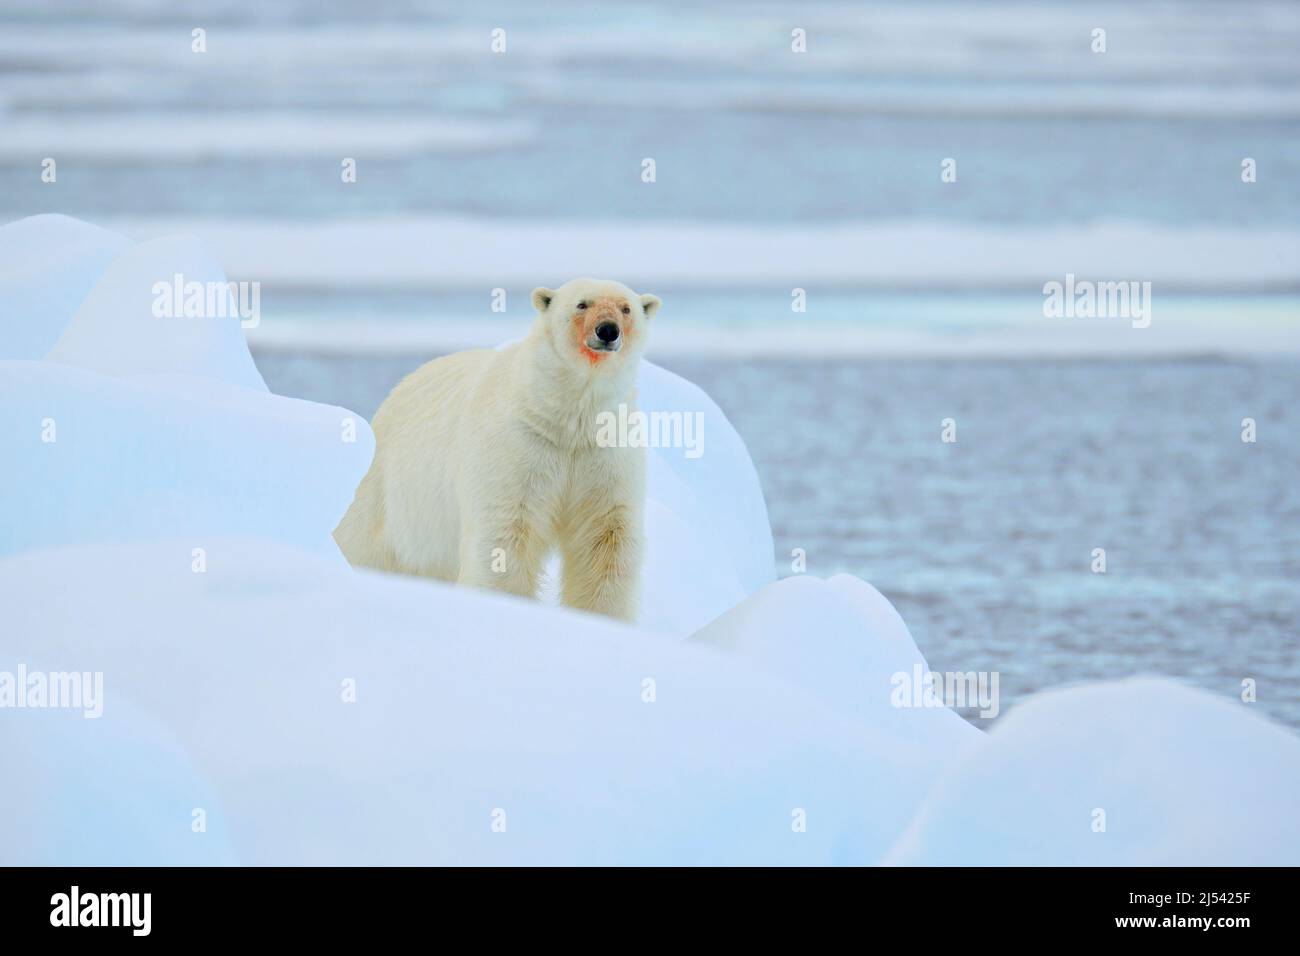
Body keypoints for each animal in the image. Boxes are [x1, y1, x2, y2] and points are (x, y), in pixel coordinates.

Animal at [333, 278, 660, 622]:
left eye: (626, 308)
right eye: (582, 304)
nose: (608, 330)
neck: (564, 419)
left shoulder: (603, 449)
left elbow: (605, 535)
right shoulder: (519, 446)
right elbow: (506, 535)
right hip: (388, 489)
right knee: (362, 539)